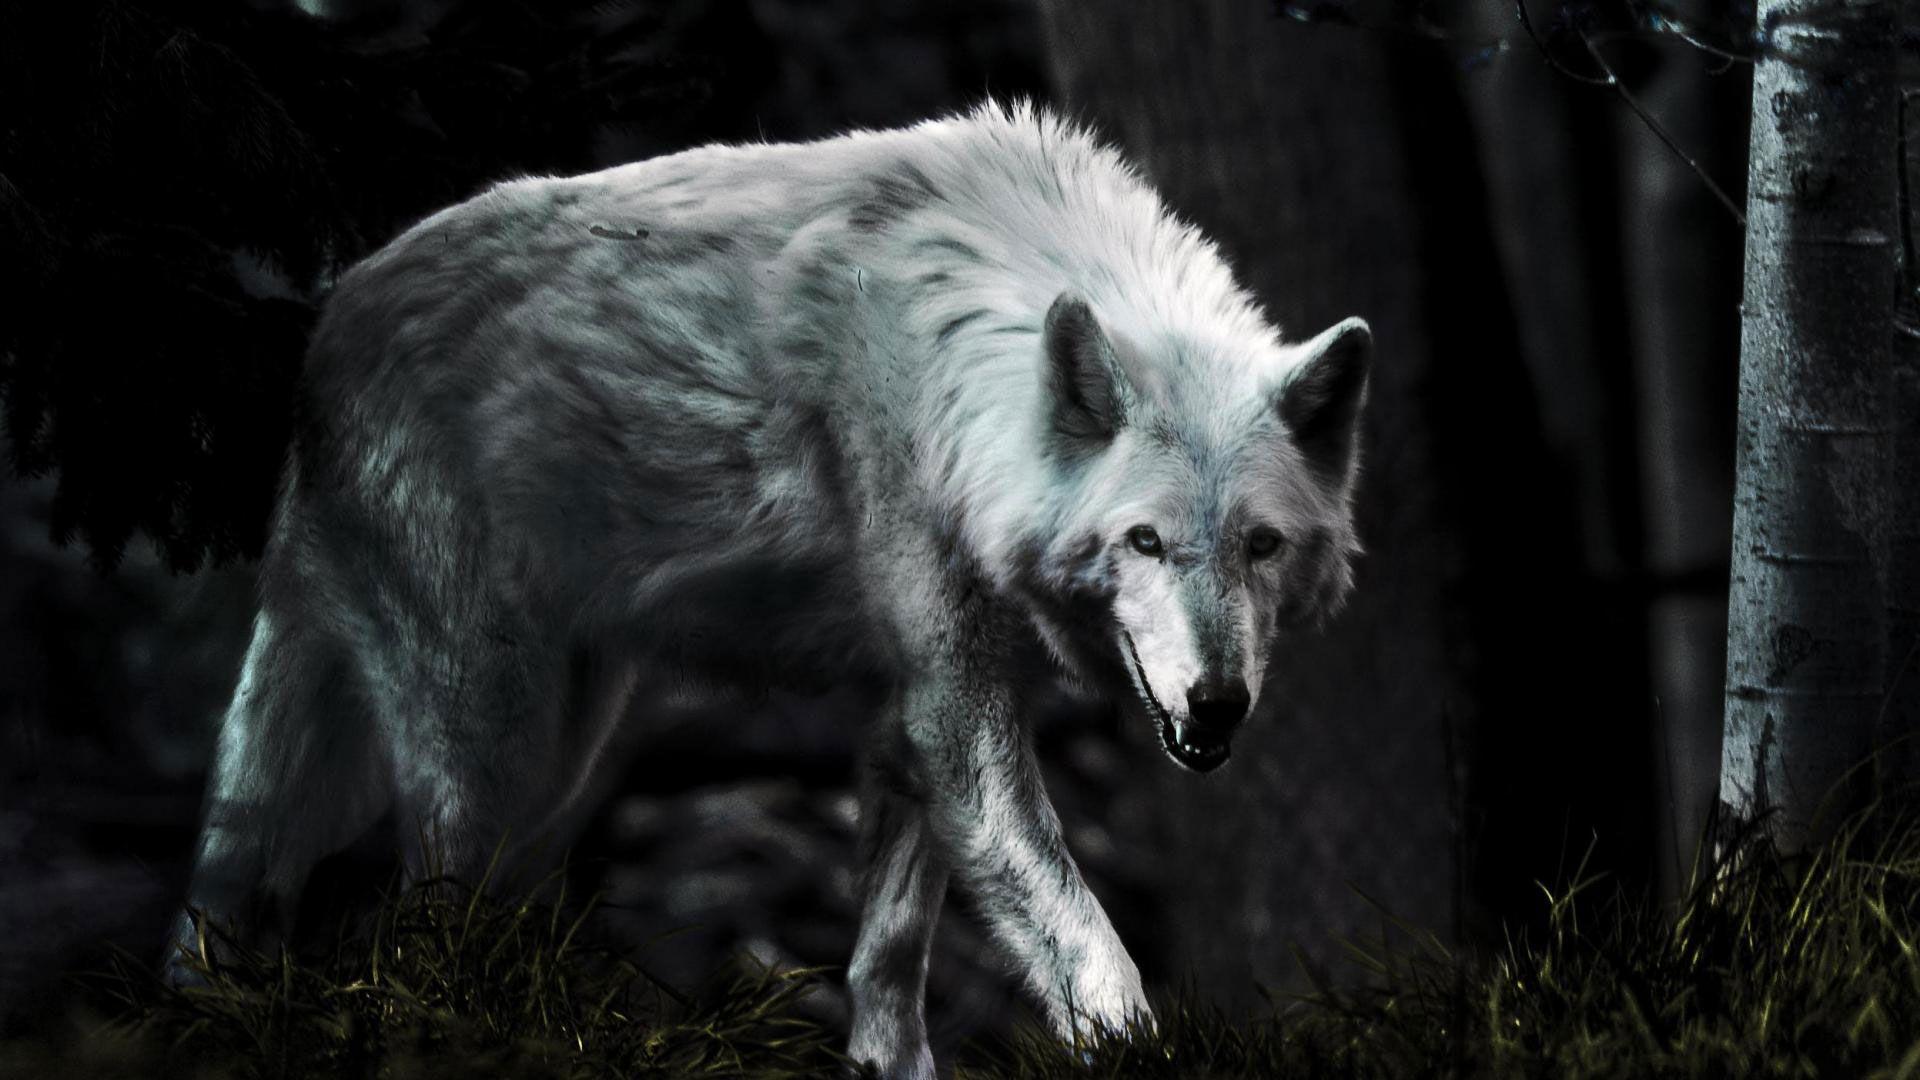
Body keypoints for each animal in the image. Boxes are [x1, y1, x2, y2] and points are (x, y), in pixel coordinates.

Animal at [166, 101, 1370, 1078]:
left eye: (1260, 546)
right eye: (1144, 542)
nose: (1218, 703)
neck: (961, 355)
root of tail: (327, 331)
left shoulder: (913, 717)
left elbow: (887, 964)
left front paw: (886, 1068)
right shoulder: (956, 712)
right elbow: (1087, 944)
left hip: (558, 764)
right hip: (488, 754)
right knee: (413, 933)